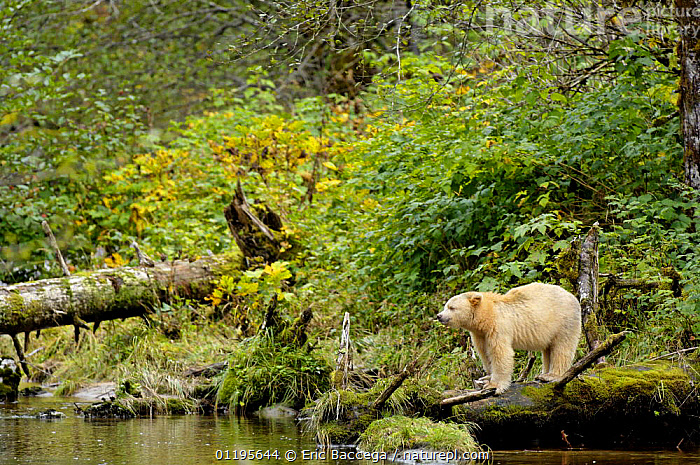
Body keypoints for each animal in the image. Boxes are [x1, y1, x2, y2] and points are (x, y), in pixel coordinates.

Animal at [436, 282, 581, 394]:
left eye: (451, 307)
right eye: (446, 306)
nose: (439, 316)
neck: (486, 316)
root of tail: (574, 297)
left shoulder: (498, 327)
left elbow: (500, 353)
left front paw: (494, 385)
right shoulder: (480, 334)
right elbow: (484, 353)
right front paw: (486, 378)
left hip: (564, 321)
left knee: (561, 348)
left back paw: (551, 376)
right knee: (548, 350)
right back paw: (542, 374)